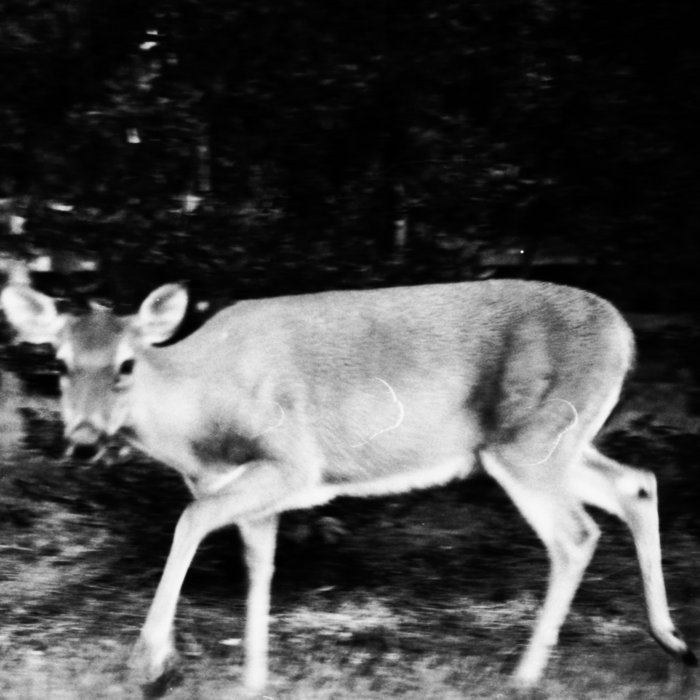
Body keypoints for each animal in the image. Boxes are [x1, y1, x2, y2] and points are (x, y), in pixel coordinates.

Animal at [1, 279, 695, 693]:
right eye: (59, 364)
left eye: (126, 364)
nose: (83, 439)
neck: (200, 424)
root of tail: (626, 336)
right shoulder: (255, 490)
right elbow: (259, 568)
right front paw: (253, 680)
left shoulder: (293, 460)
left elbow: (189, 522)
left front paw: (151, 663)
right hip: (551, 443)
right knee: (636, 483)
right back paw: (674, 641)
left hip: (530, 439)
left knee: (575, 534)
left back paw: (524, 677)